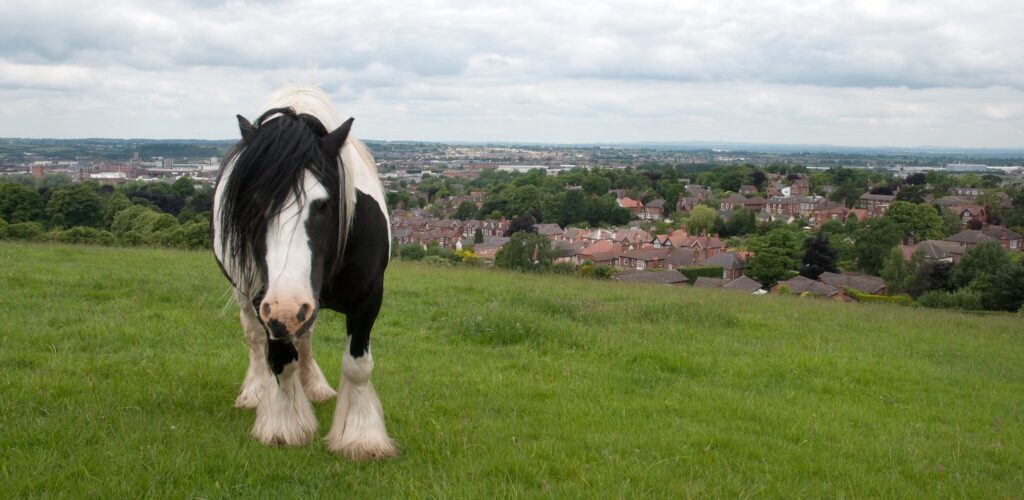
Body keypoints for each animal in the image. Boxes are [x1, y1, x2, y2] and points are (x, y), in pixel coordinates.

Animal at [211, 85, 396, 460]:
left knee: (305, 338)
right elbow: (281, 360)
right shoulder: (267, 302)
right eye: (251, 203)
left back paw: (315, 388)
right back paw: (255, 391)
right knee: (255, 339)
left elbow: (357, 366)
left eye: (323, 204)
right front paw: (285, 425)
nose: (287, 307)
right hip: (251, 296)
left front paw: (361, 436)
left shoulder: (368, 296)